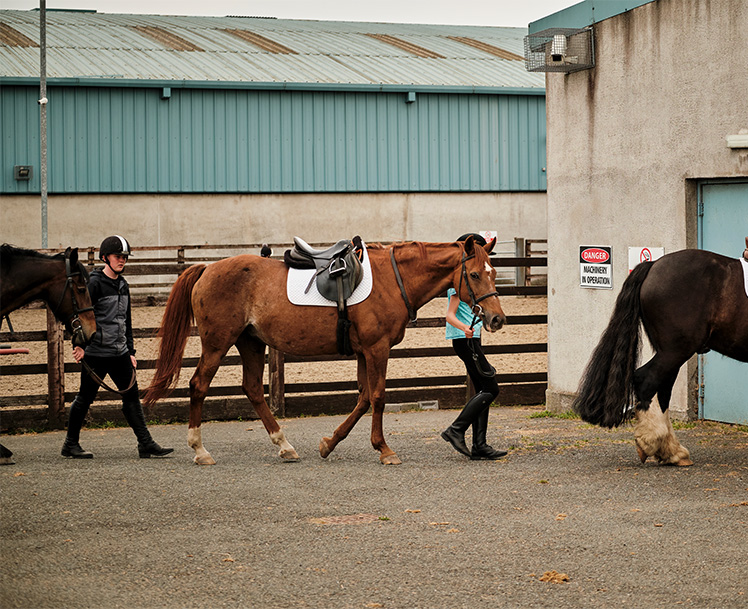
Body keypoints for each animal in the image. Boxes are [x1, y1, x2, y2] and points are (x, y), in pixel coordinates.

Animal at [144, 236, 506, 465]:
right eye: (475, 274)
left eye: (493, 273)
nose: (496, 318)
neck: (393, 279)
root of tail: (207, 268)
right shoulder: (377, 349)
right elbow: (377, 397)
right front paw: (384, 449)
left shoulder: (364, 352)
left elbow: (363, 397)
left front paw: (329, 444)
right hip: (218, 343)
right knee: (199, 386)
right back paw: (199, 450)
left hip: (250, 342)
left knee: (253, 389)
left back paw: (285, 446)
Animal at [573, 246, 748, 466]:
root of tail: (653, 265)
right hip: (675, 350)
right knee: (647, 381)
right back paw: (655, 444)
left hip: (672, 353)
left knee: (662, 390)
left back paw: (671, 451)